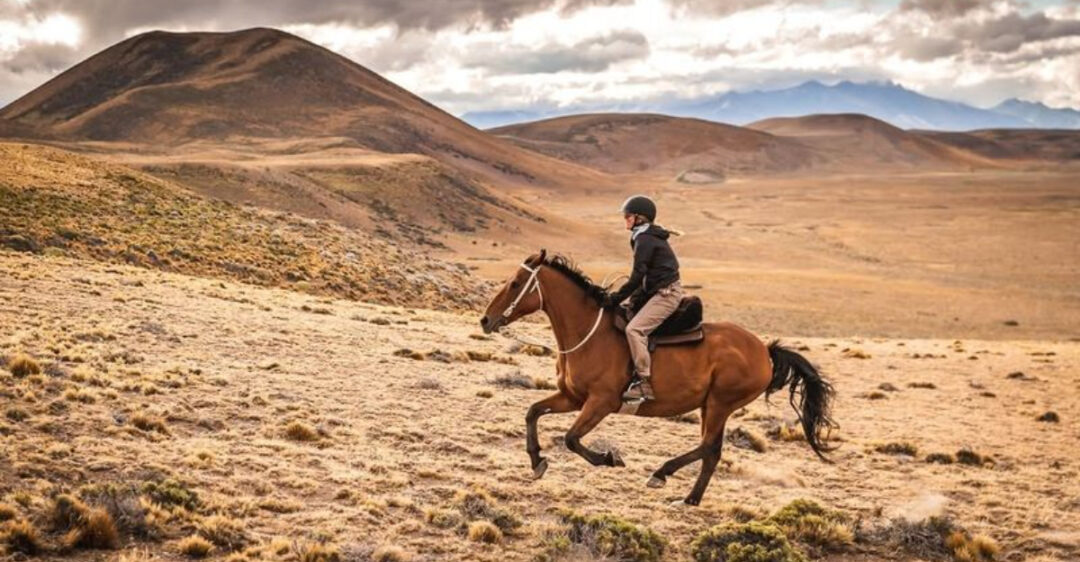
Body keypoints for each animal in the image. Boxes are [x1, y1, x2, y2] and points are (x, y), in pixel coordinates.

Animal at [479, 250, 836, 506]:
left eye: (514, 284)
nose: (485, 320)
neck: (587, 333)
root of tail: (764, 350)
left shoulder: (601, 402)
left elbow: (571, 439)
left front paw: (609, 459)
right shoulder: (573, 398)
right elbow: (533, 413)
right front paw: (537, 461)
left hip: (720, 403)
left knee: (708, 448)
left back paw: (662, 474)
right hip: (710, 405)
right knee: (712, 452)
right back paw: (689, 499)